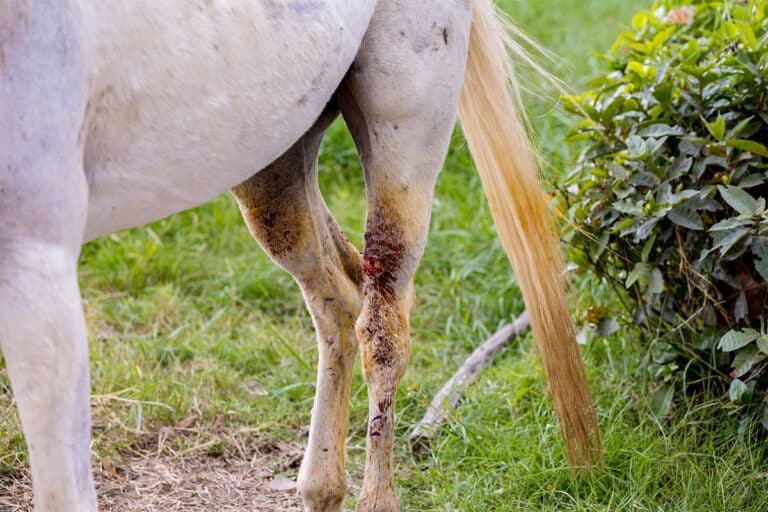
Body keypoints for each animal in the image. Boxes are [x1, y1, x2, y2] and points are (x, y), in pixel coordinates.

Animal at [0, 0, 601, 510]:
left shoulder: (36, 263)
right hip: (272, 161)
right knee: (340, 299)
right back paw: (320, 487)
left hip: (404, 129)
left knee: (382, 330)